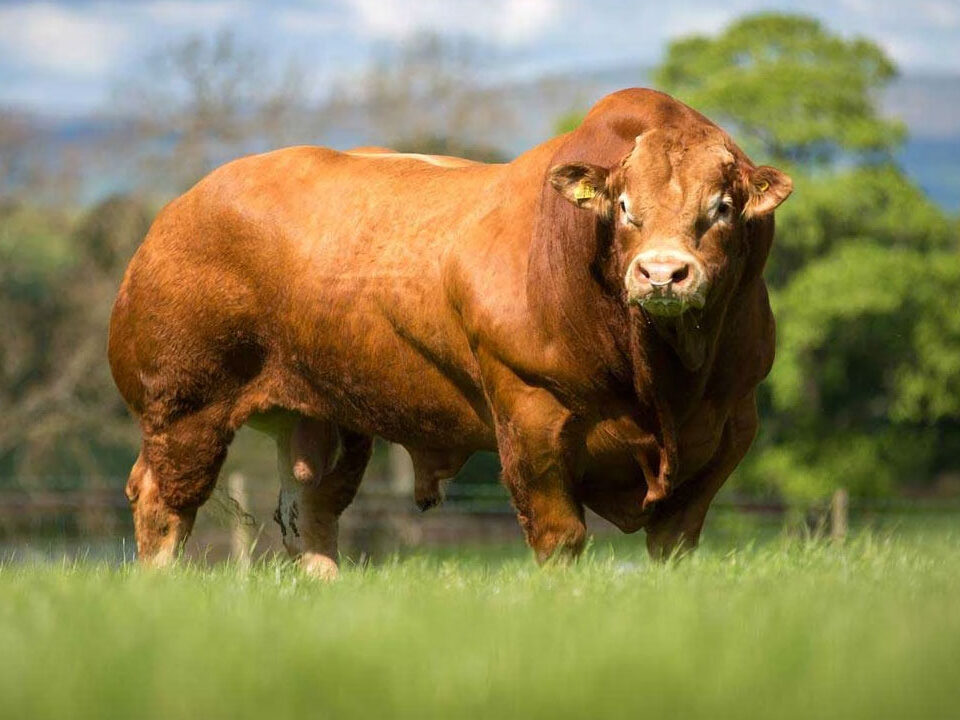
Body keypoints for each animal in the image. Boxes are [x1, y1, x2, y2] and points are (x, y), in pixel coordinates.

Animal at [108, 88, 791, 578]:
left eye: (721, 208)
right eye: (624, 207)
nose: (662, 273)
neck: (663, 388)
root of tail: (178, 211)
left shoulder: (732, 425)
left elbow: (674, 541)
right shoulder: (530, 420)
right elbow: (561, 538)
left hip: (324, 412)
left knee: (308, 509)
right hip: (186, 403)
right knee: (163, 501)